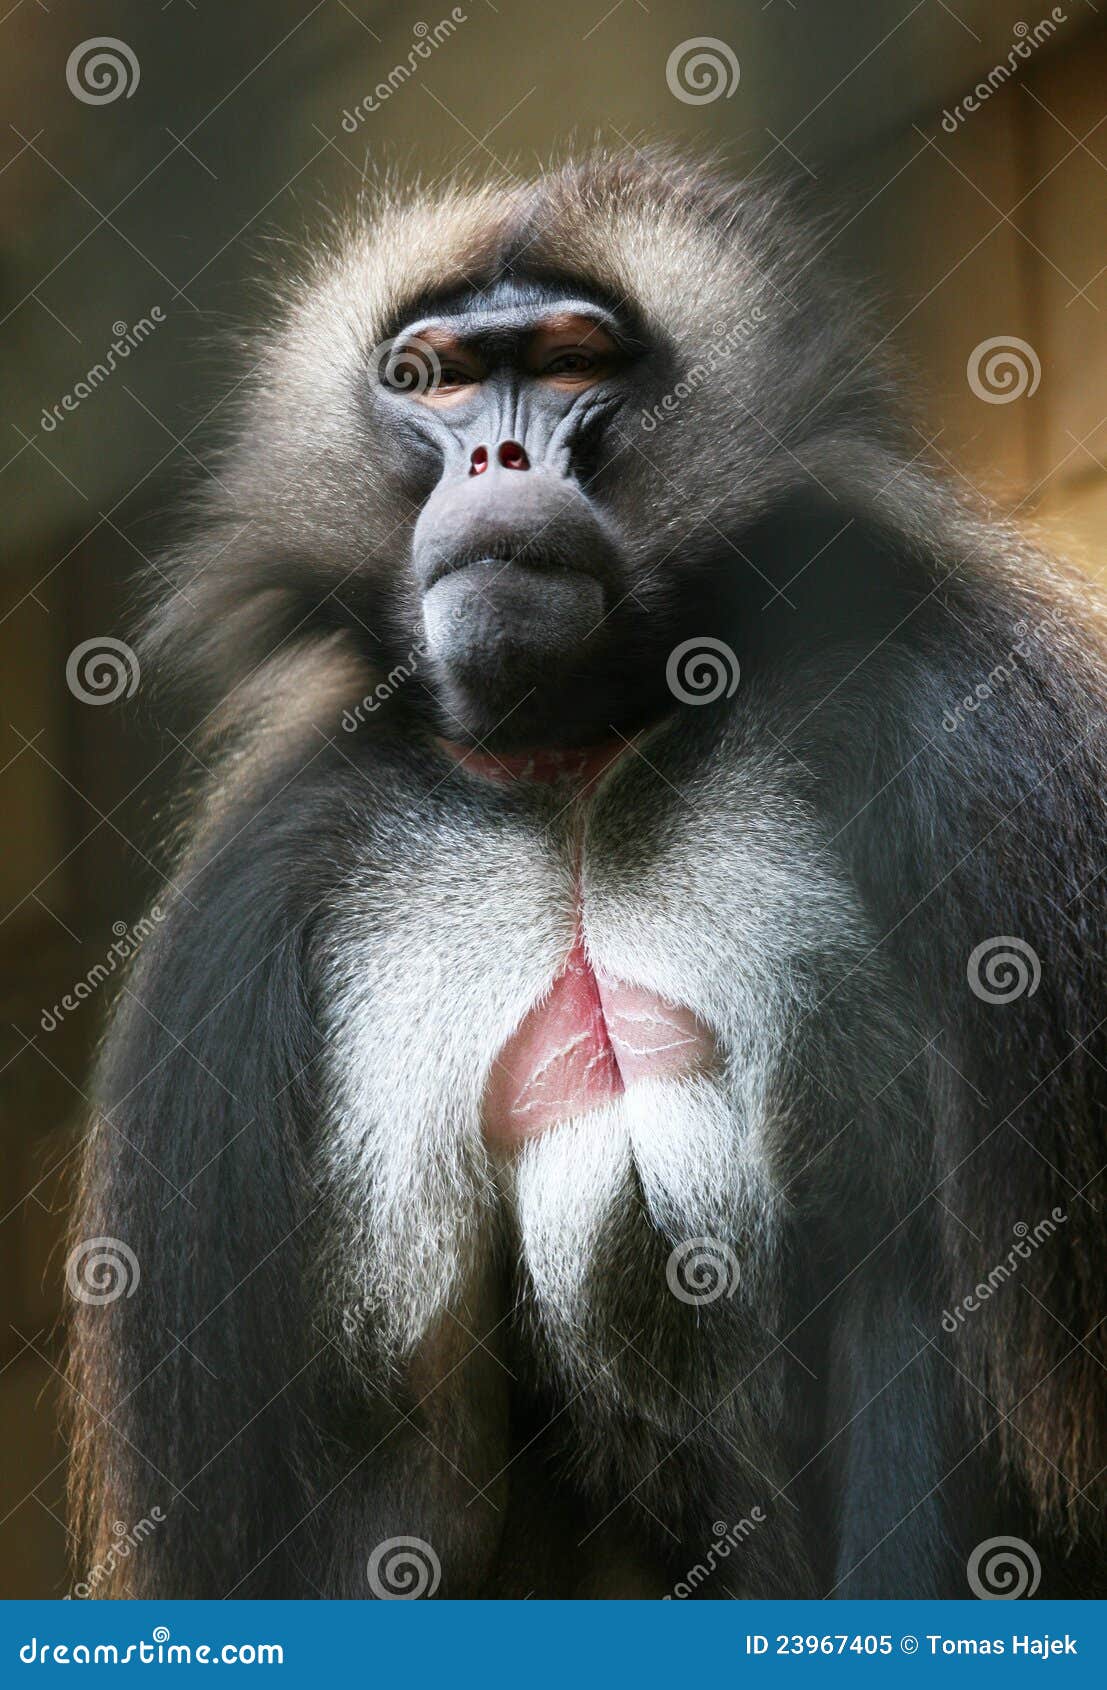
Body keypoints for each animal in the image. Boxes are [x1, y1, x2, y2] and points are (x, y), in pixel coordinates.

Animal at [67, 149, 1107, 1600]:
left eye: (569, 363)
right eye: (437, 380)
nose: (499, 458)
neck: (569, 770)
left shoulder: (974, 755)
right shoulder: (265, 906)